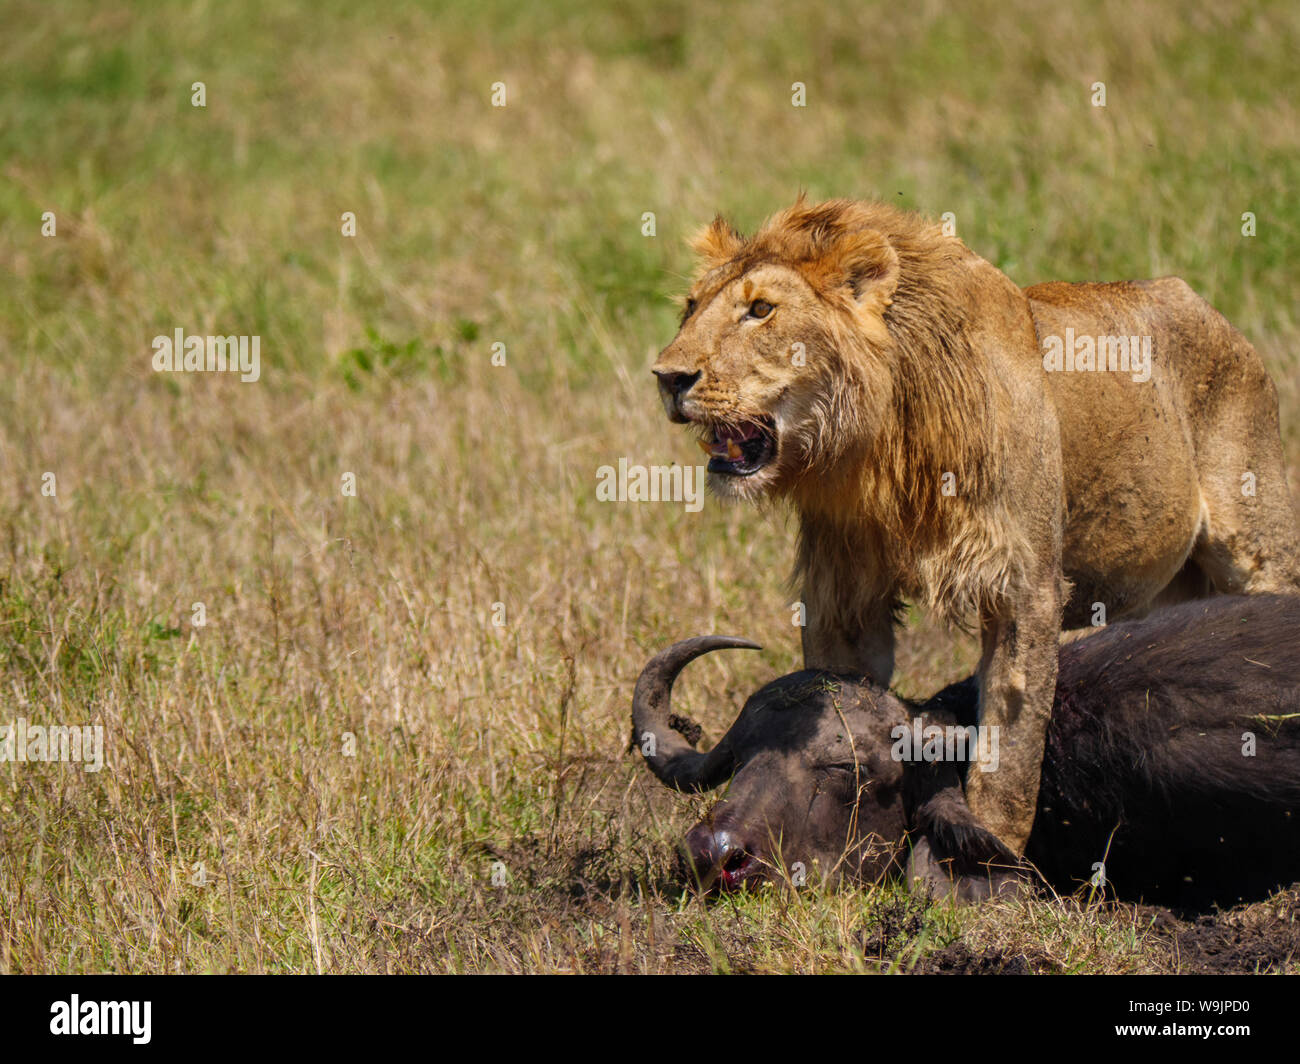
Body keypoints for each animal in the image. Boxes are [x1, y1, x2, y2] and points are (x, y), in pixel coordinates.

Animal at [652, 196, 1300, 855]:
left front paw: (985, 856)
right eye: (691, 306)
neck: (882, 447)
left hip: (1257, 542)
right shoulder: (843, 596)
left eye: (761, 310)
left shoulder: (1023, 588)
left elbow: (1007, 755)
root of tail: (1205, 306)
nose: (668, 377)